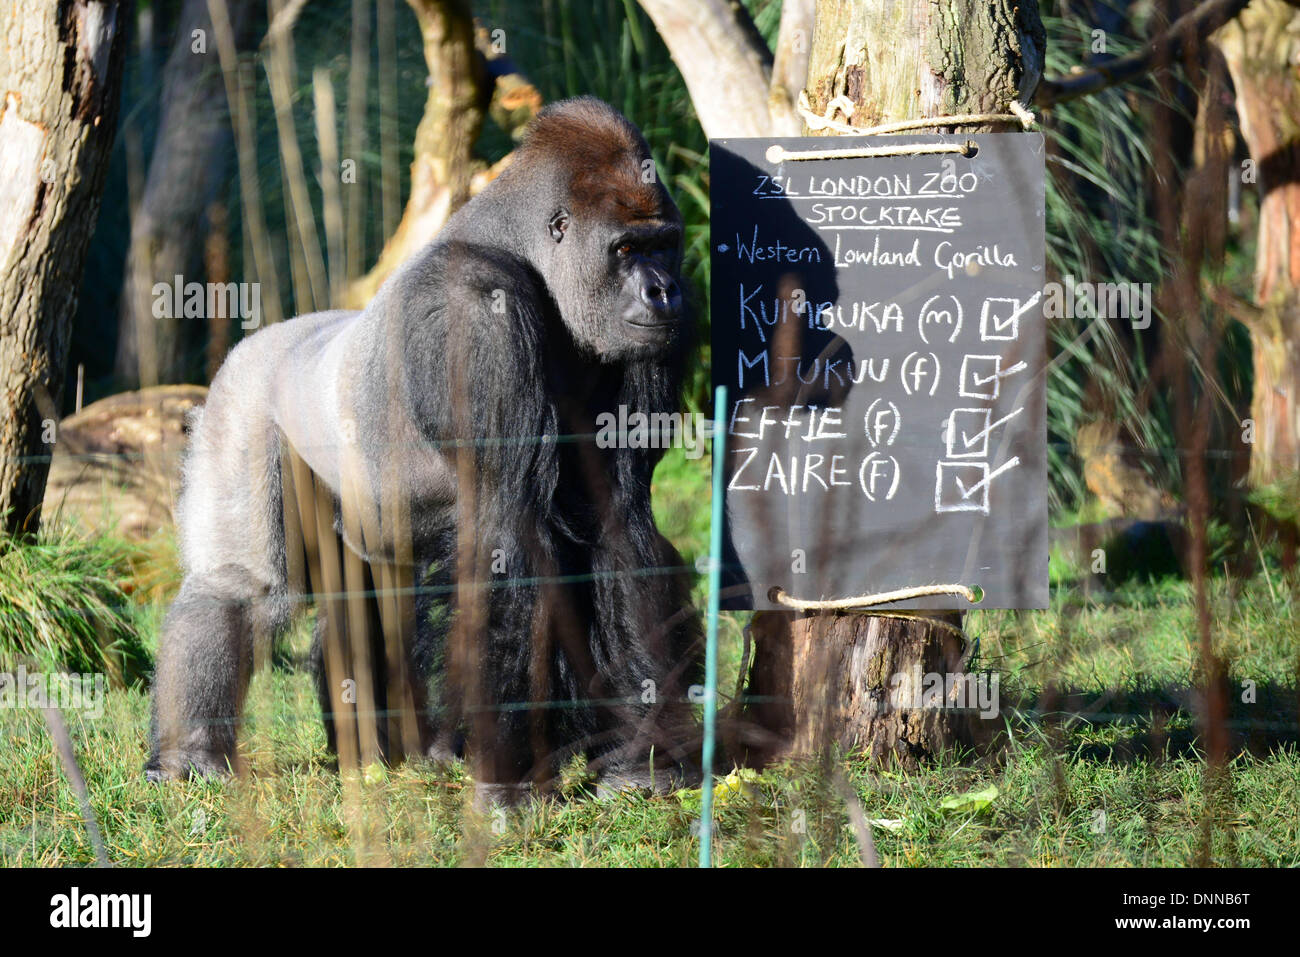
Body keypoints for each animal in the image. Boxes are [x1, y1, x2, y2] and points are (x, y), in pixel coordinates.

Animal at [146, 97, 702, 803]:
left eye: (664, 246)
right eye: (626, 249)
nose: (665, 291)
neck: (524, 255)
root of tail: (267, 335)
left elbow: (618, 521)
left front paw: (646, 759)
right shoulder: (473, 313)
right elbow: (508, 531)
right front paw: (507, 780)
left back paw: (383, 750)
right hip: (240, 400)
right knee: (240, 585)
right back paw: (189, 753)